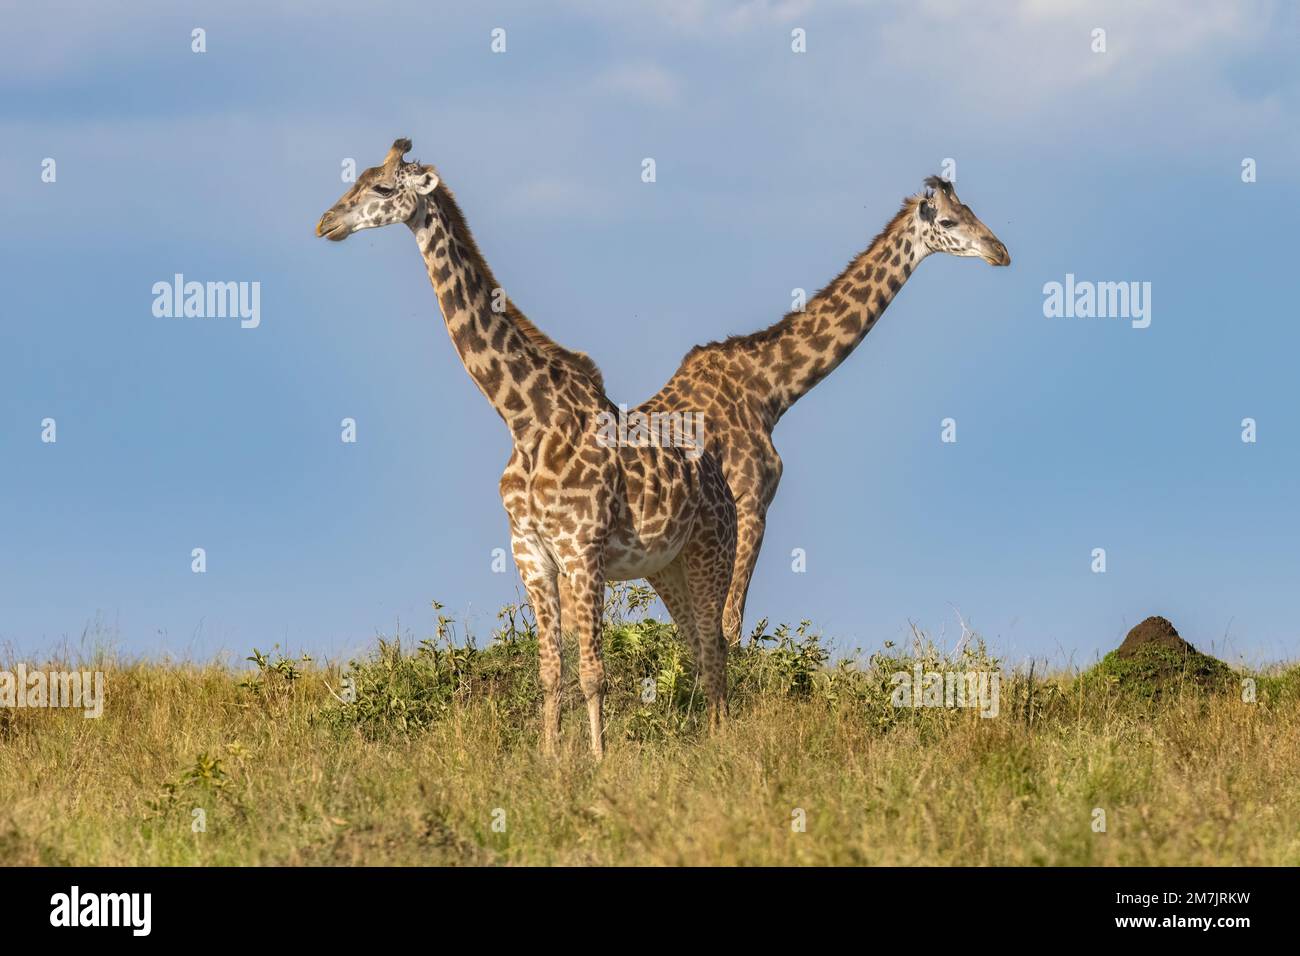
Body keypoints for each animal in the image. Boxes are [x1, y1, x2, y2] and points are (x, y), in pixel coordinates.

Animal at [316, 139, 736, 759]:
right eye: (357, 179)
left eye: (383, 188)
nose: (326, 222)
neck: (525, 419)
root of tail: (718, 477)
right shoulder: (530, 552)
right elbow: (550, 671)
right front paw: (549, 758)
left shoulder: (582, 550)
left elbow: (592, 672)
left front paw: (598, 761)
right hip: (669, 567)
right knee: (698, 645)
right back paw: (711, 737)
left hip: (712, 550)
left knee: (715, 643)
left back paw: (722, 743)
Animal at [636, 176, 1010, 645]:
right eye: (947, 220)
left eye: (972, 210)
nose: (1000, 251)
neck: (769, 389)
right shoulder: (750, 502)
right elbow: (730, 624)